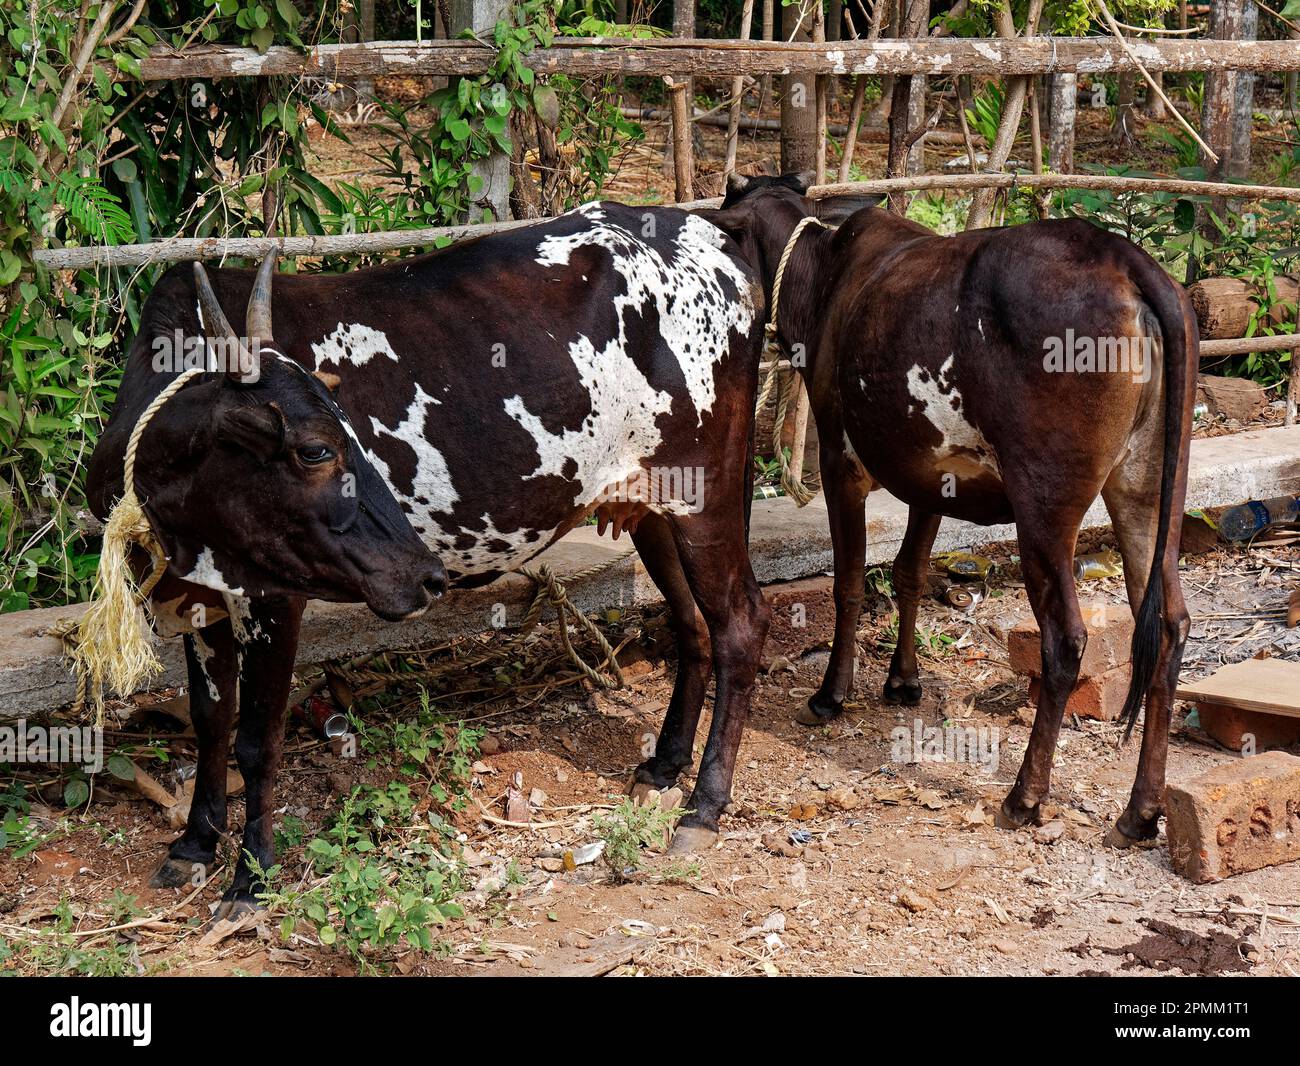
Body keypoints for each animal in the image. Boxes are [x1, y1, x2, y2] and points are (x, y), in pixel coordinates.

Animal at [86, 203, 770, 918]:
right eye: (314, 449)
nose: (422, 576)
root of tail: (711, 230)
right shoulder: (199, 596)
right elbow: (211, 722)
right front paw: (194, 844)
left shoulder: (276, 596)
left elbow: (255, 739)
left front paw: (251, 878)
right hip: (656, 510)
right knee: (692, 628)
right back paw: (664, 766)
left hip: (708, 497)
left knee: (740, 626)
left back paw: (705, 806)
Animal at [702, 173, 1196, 848]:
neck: (824, 275)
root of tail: (1127, 260)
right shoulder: (931, 475)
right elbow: (909, 572)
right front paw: (903, 681)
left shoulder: (838, 456)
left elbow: (849, 582)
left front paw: (833, 693)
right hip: (1147, 492)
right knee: (1170, 627)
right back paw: (1140, 811)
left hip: (1044, 506)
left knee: (1066, 640)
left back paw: (1025, 797)